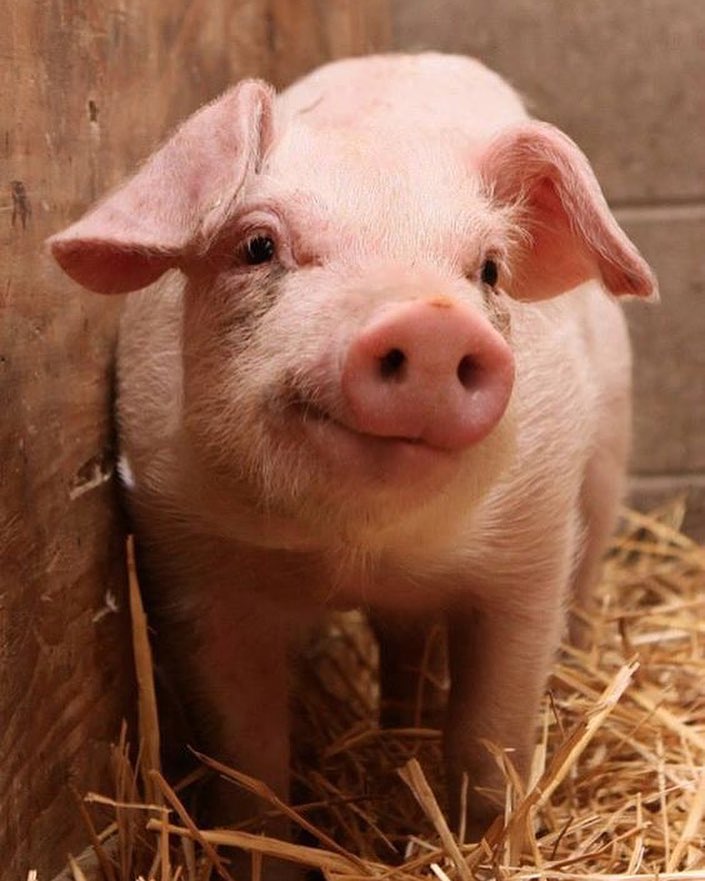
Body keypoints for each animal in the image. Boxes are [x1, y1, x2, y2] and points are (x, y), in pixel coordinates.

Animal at [49, 53, 657, 841]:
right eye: (257, 246)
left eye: (489, 269)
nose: (433, 323)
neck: (356, 550)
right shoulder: (185, 558)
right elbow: (248, 760)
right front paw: (257, 851)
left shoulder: (532, 545)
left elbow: (491, 731)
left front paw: (487, 839)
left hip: (608, 453)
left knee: (578, 588)